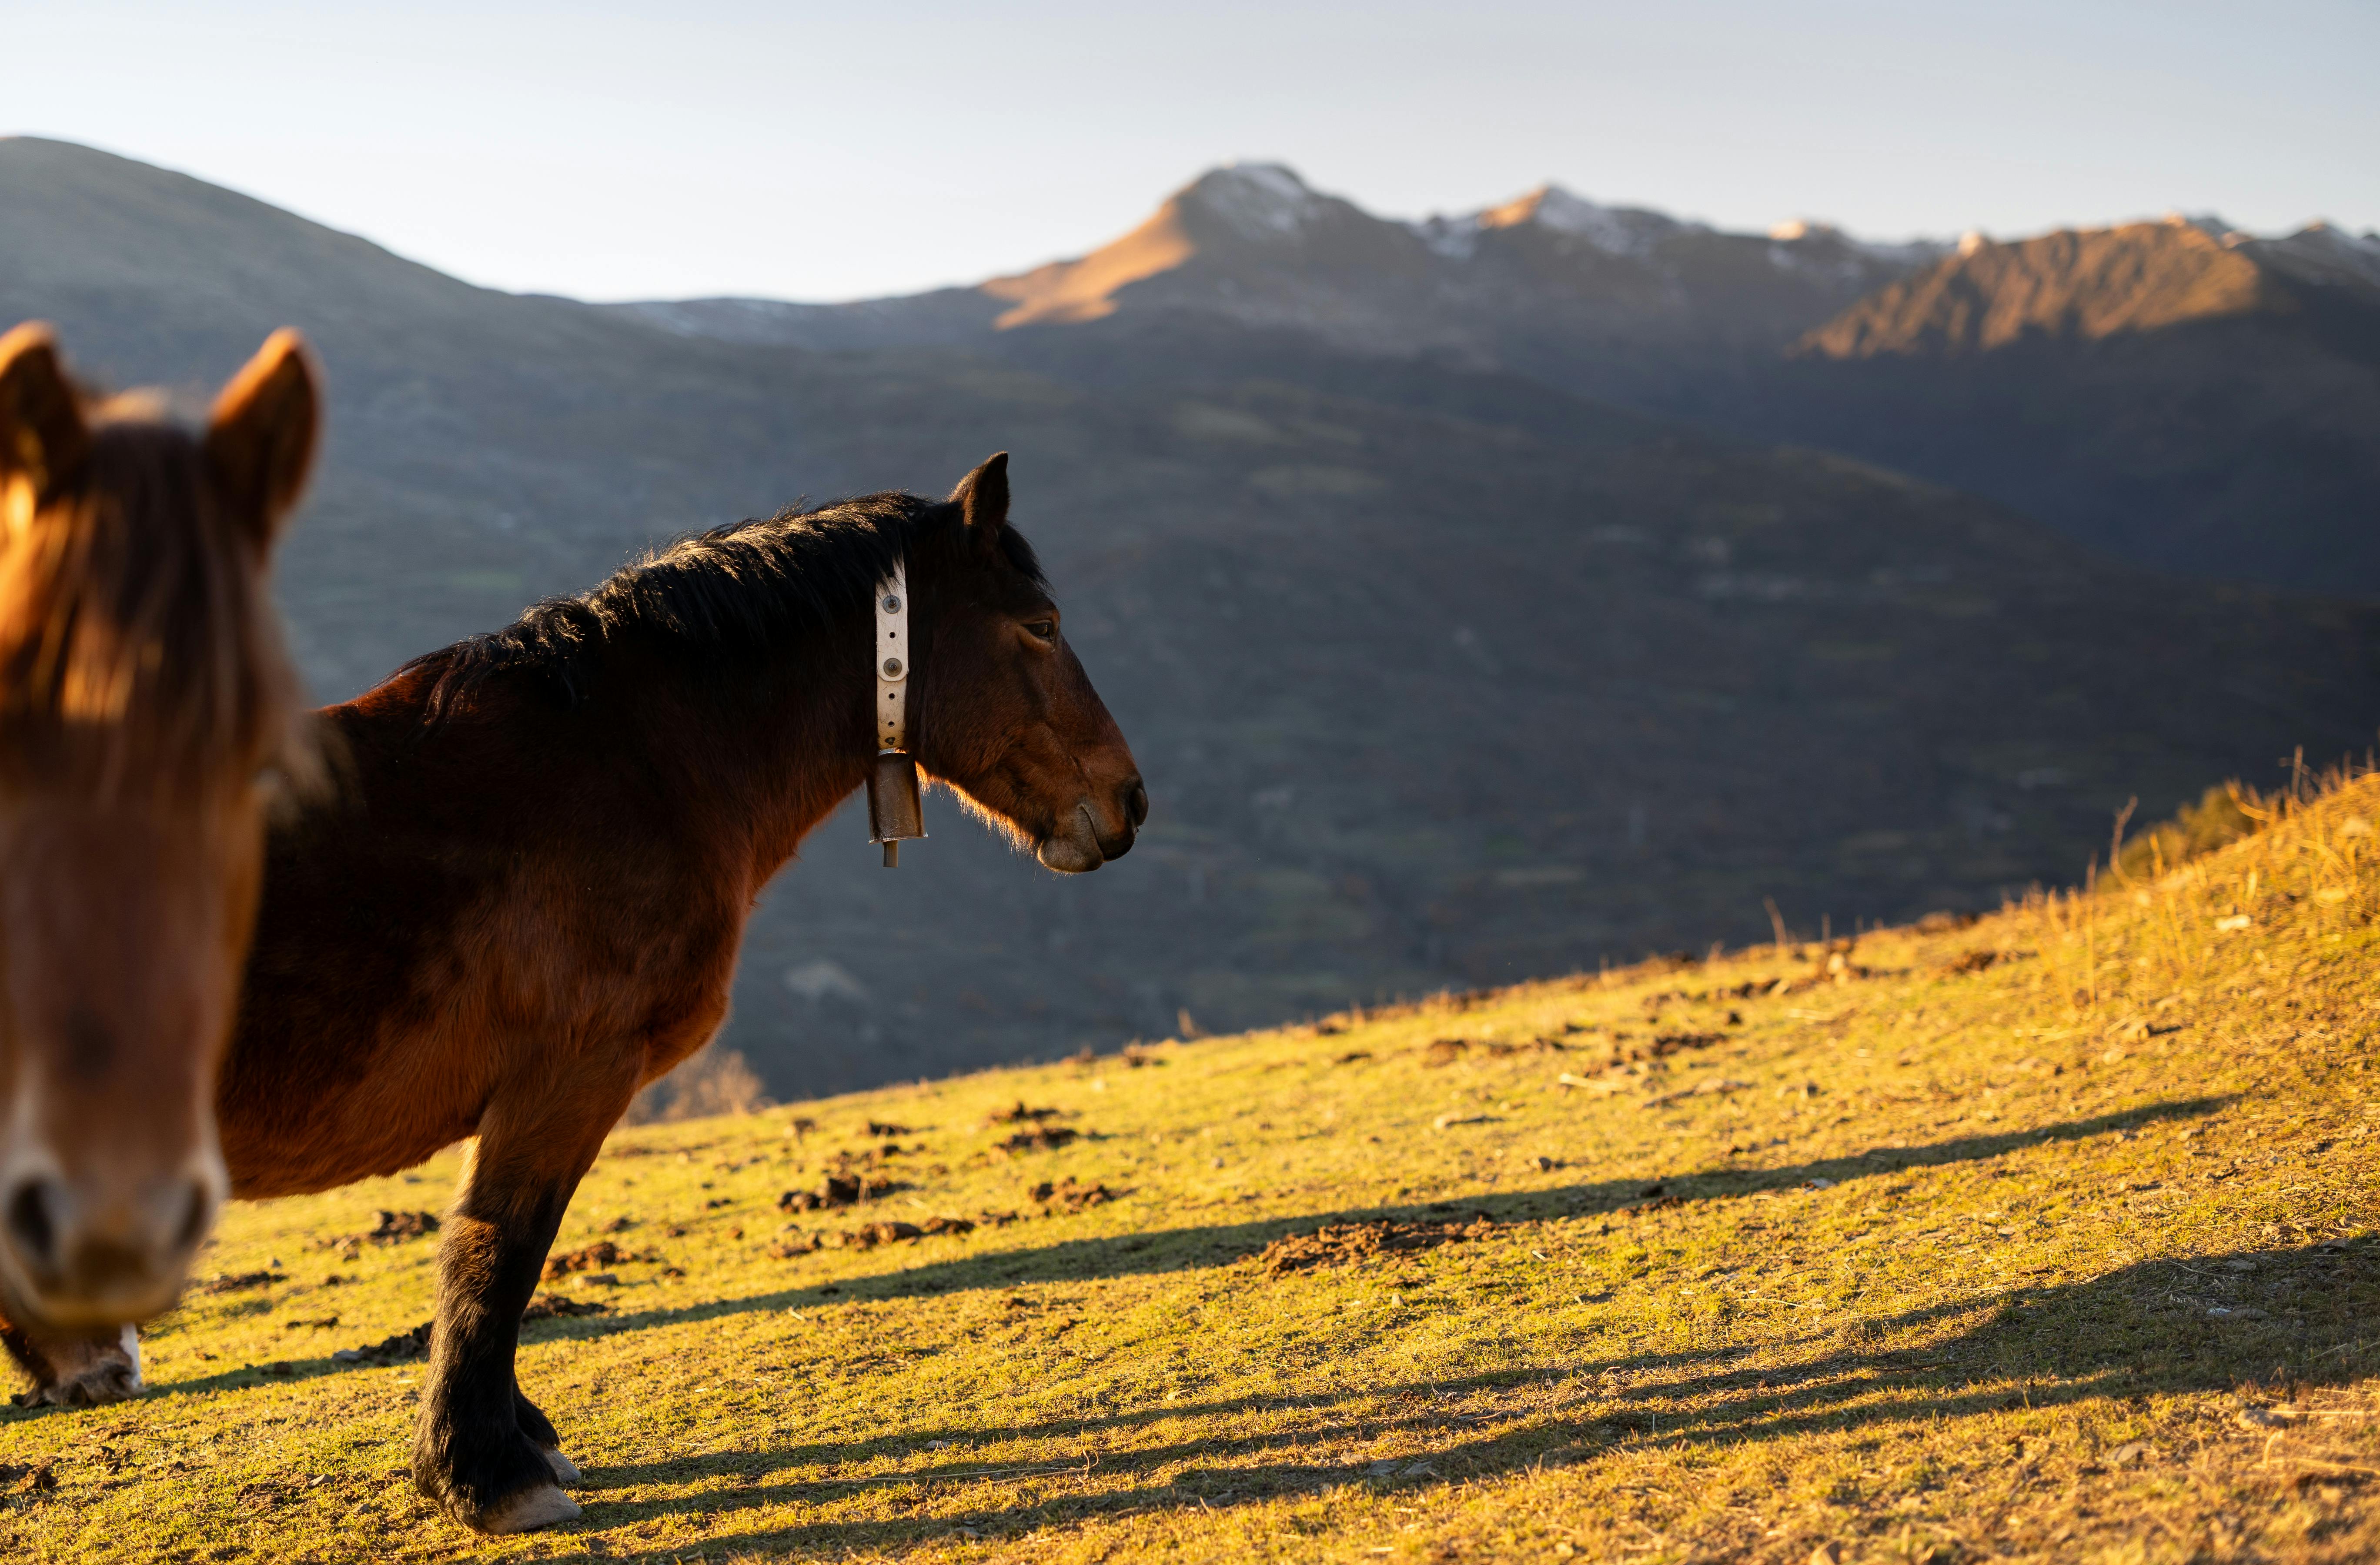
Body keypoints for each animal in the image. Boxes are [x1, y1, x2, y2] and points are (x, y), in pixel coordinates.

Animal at [13, 454, 1143, 1529]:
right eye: (1039, 626)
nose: (1128, 800)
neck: (636, 761)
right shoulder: (569, 1075)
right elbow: (497, 1254)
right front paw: (482, 1474)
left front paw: (512, 1441)